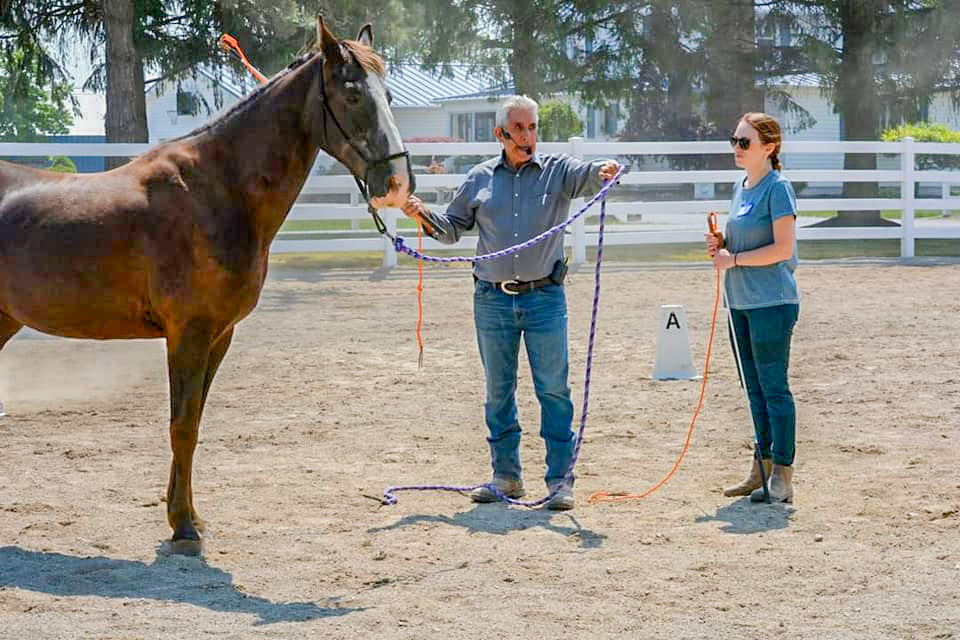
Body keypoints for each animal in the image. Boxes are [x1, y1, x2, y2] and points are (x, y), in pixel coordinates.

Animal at [0, 17, 413, 555]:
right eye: (353, 94)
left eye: (388, 93)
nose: (396, 182)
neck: (217, 190)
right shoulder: (188, 335)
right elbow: (182, 426)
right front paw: (182, 527)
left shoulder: (219, 335)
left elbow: (194, 422)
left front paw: (189, 515)